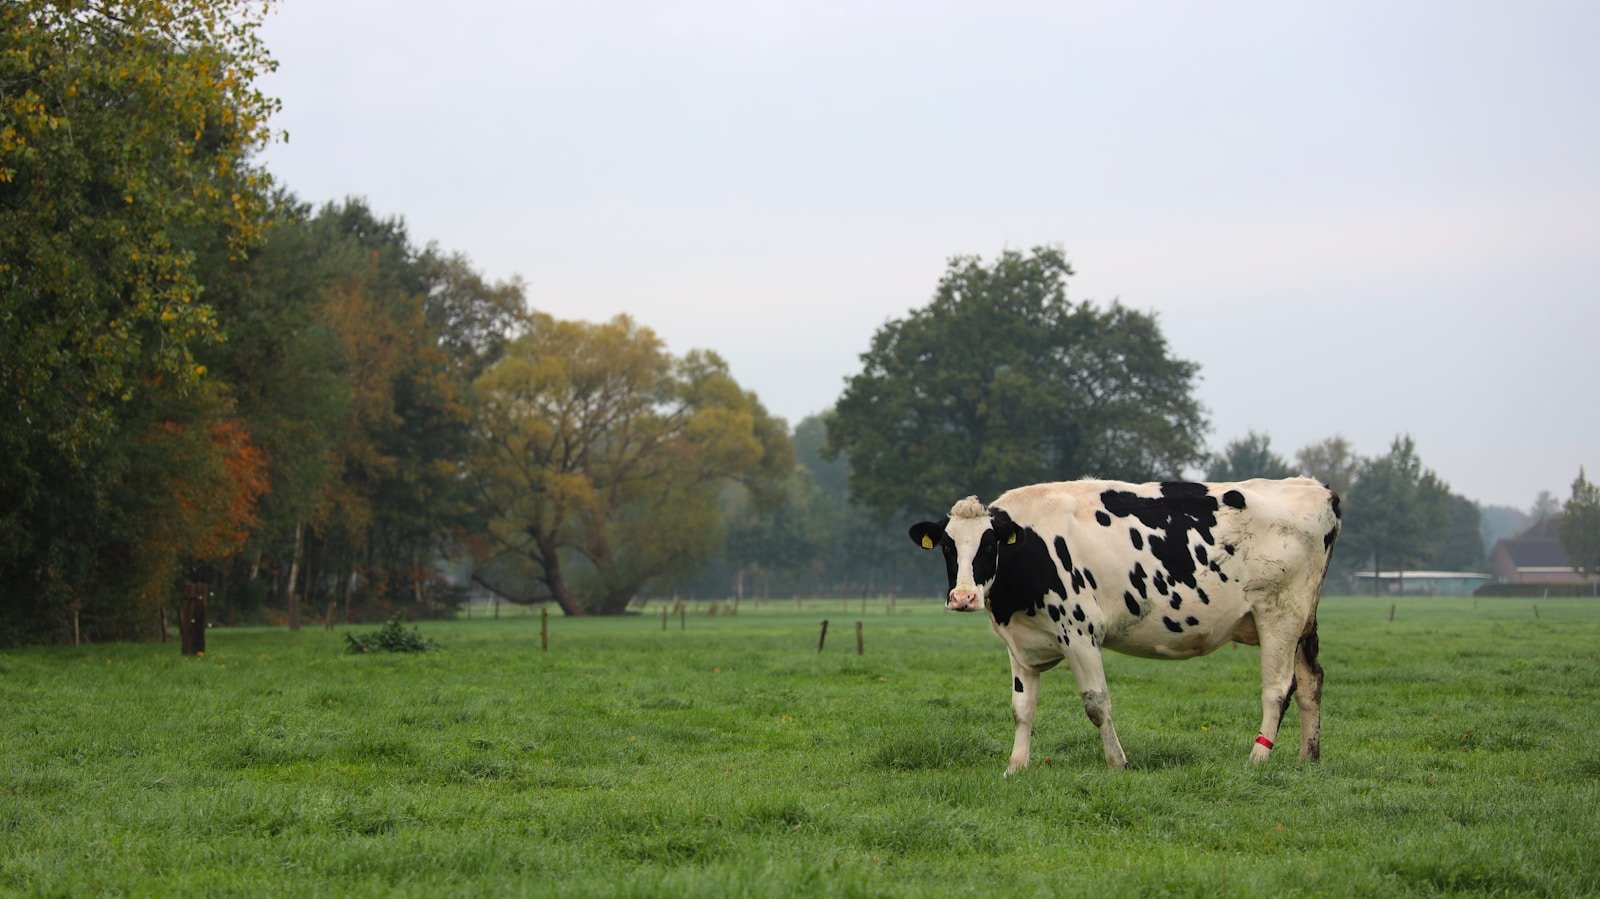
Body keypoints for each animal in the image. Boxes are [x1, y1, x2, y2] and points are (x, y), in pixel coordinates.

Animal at [909, 477, 1340, 772]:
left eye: (989, 544)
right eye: (947, 546)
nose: (963, 597)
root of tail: (1315, 488)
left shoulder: (1079, 633)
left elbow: (1097, 703)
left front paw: (1119, 763)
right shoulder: (1021, 642)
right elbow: (1022, 708)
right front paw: (1016, 767)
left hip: (1279, 614)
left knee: (1278, 689)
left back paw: (1257, 758)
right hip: (1303, 623)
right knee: (1311, 681)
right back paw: (1308, 758)